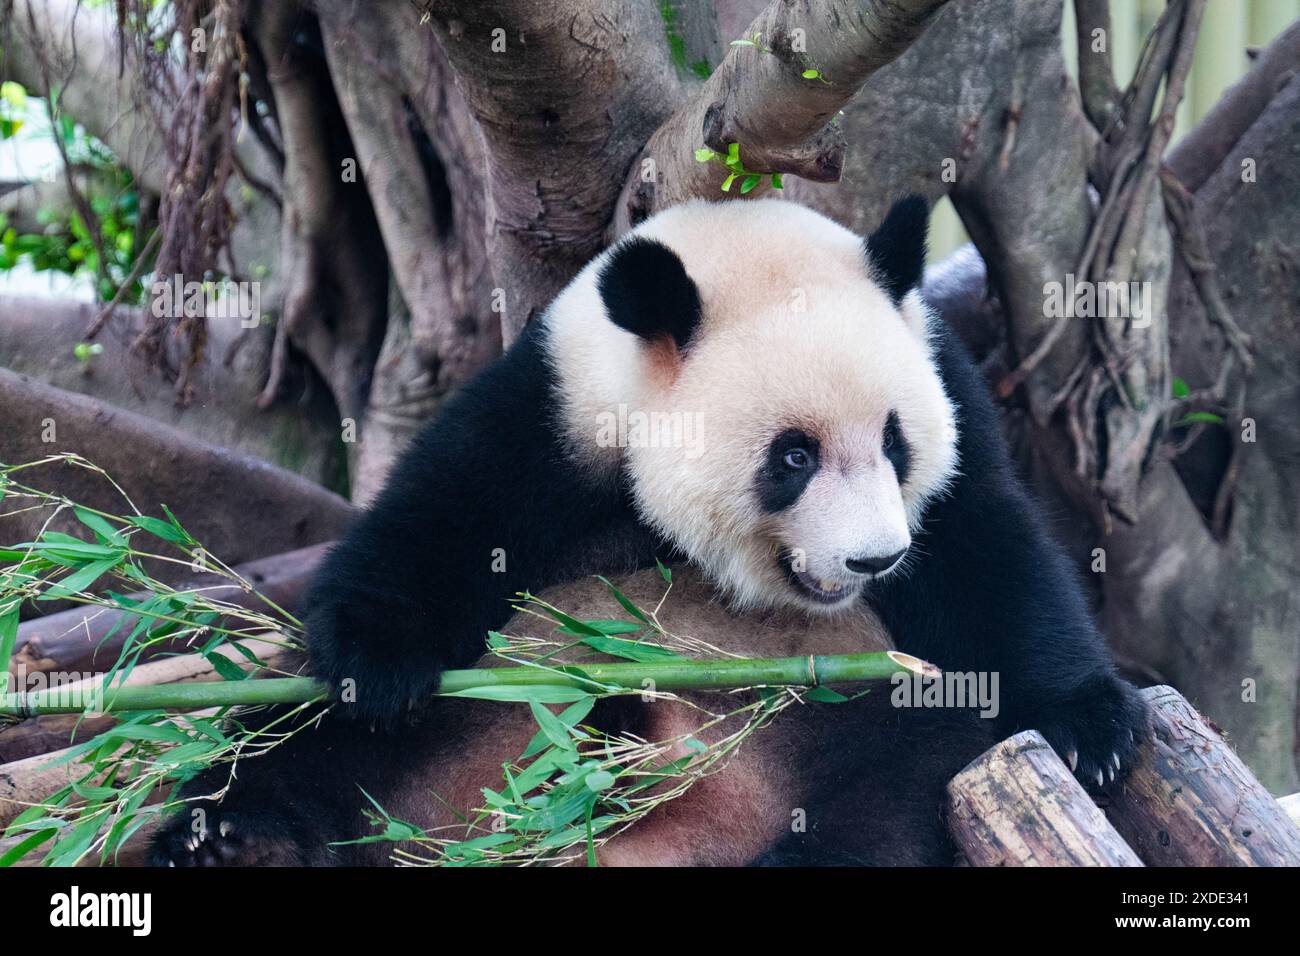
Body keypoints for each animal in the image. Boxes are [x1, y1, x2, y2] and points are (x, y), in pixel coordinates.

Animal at [150, 196, 1147, 866]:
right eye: (793, 456)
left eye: (896, 441)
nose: (876, 558)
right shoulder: (552, 415)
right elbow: (432, 532)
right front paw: (379, 668)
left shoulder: (952, 404)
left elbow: (991, 566)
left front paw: (1090, 730)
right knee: (292, 745)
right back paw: (227, 835)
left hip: (838, 727)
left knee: (889, 791)